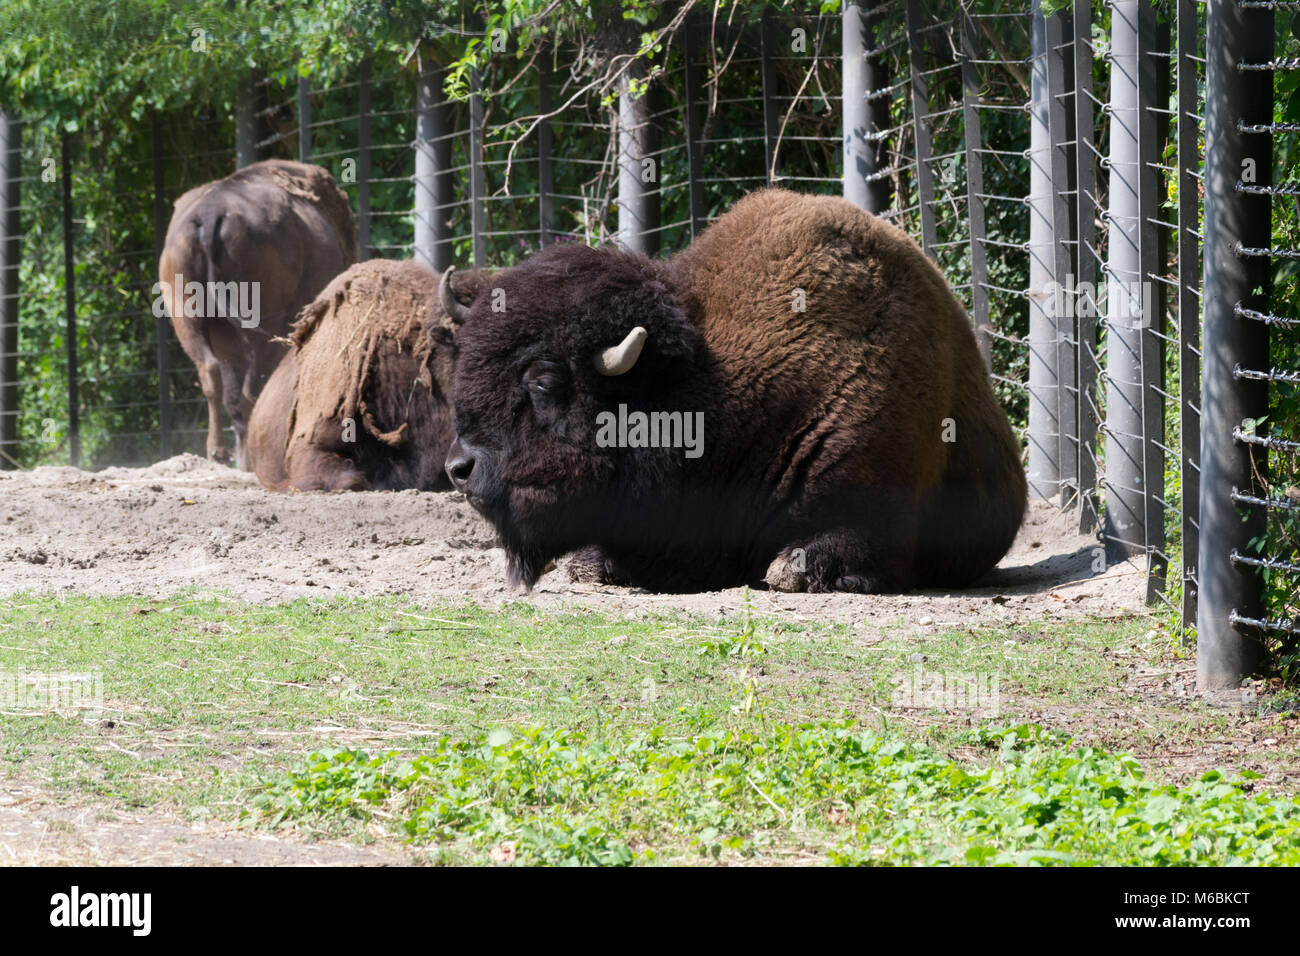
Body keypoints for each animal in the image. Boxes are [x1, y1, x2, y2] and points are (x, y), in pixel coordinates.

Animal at [159, 159, 356, 469]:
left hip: (186, 316)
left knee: (214, 375)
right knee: (250, 389)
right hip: (261, 323)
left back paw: (221, 453)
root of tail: (211, 212)